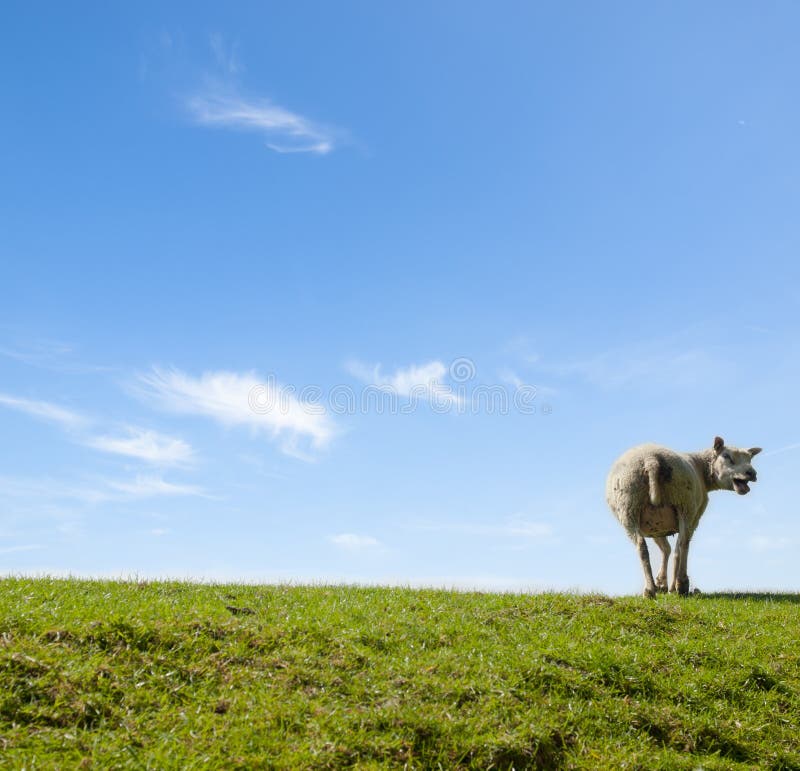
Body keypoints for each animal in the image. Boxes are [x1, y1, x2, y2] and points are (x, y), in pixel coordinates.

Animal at [606, 436, 761, 597]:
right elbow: (672, 549)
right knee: (683, 544)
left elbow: (666, 549)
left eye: (750, 459)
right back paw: (681, 584)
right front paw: (668, 585)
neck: (701, 469)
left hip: (629, 506)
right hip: (684, 504)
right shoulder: (694, 516)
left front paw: (661, 583)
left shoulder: (656, 527)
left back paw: (650, 590)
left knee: (643, 546)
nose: (751, 473)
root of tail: (651, 460)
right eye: (726, 456)